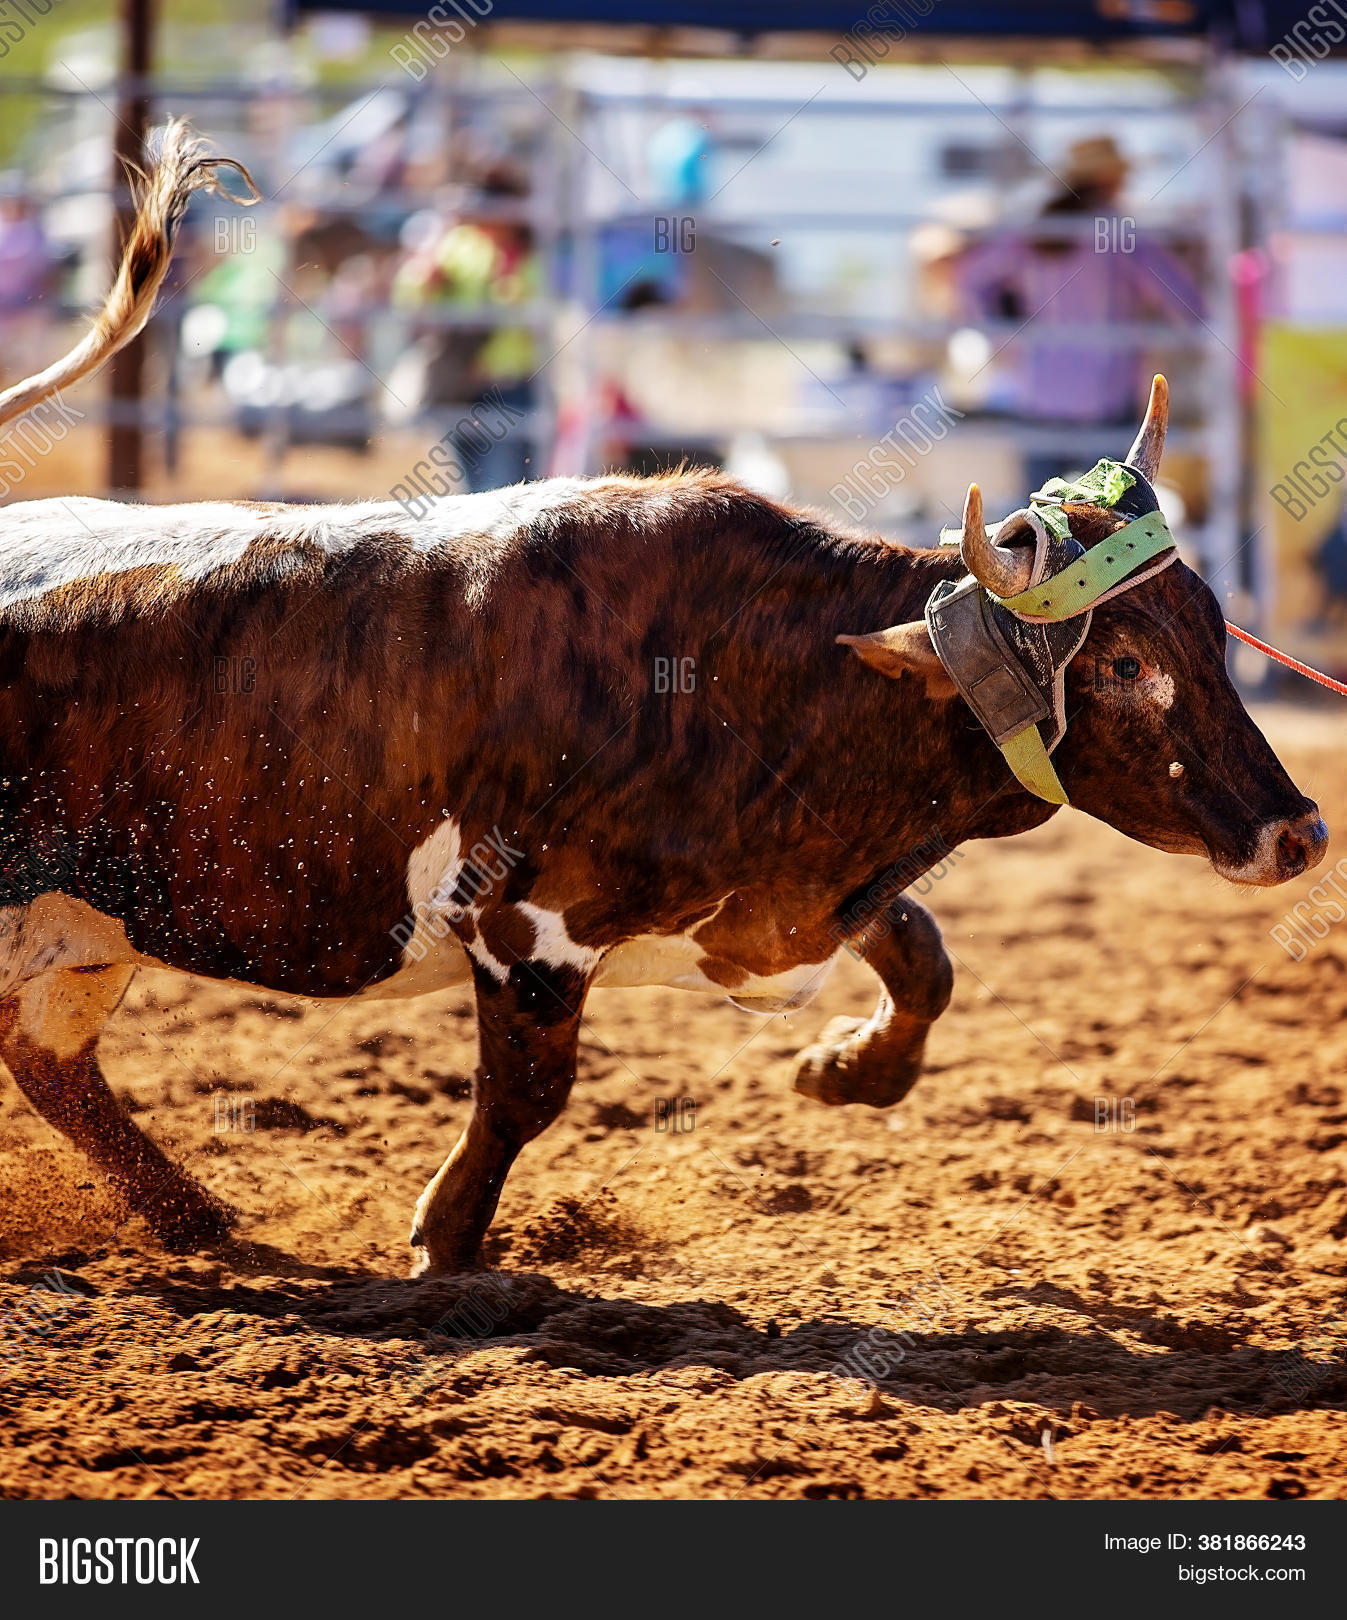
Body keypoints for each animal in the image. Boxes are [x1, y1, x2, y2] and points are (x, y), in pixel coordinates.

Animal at [0, 126, 1327, 1275]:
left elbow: (924, 956)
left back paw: (194, 1217)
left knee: (46, 1057)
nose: (1302, 831)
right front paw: (446, 1239)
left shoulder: (799, 886)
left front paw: (847, 1073)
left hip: (83, 926)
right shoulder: (525, 922)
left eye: (1213, 632)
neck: (757, 671)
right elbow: (528, 1095)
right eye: (1122, 666)